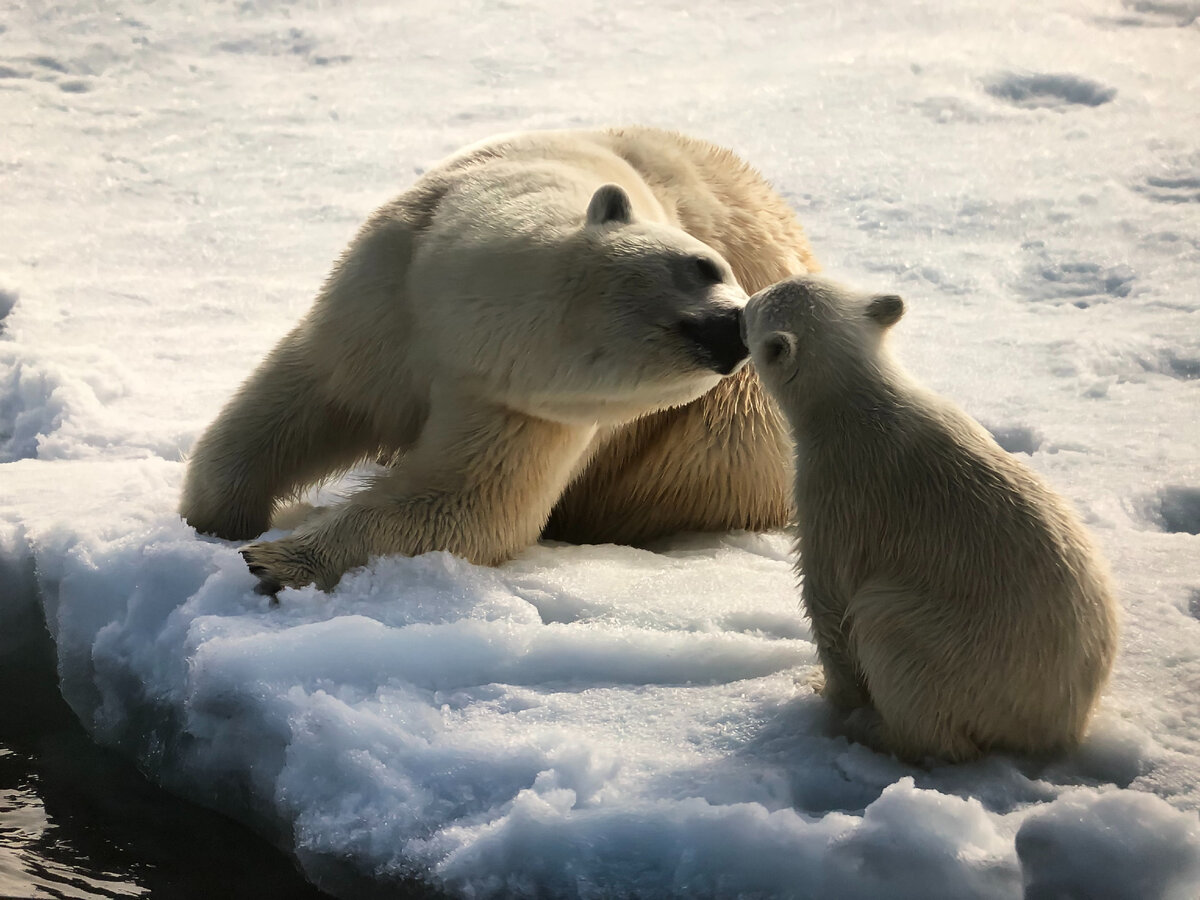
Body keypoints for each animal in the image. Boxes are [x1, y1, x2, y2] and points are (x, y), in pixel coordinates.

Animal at [179, 127, 817, 592]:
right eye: (702, 266)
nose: (737, 330)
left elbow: (466, 502)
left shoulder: (521, 408)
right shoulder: (388, 296)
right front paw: (216, 519)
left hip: (730, 436)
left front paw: (277, 558)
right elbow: (314, 396)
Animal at [742, 274, 1119, 762]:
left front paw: (828, 692)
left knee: (889, 630)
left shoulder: (834, 490)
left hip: (958, 651)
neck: (857, 401)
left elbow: (829, 598)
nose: (741, 303)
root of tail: (1060, 728)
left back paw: (877, 730)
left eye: (756, 307)